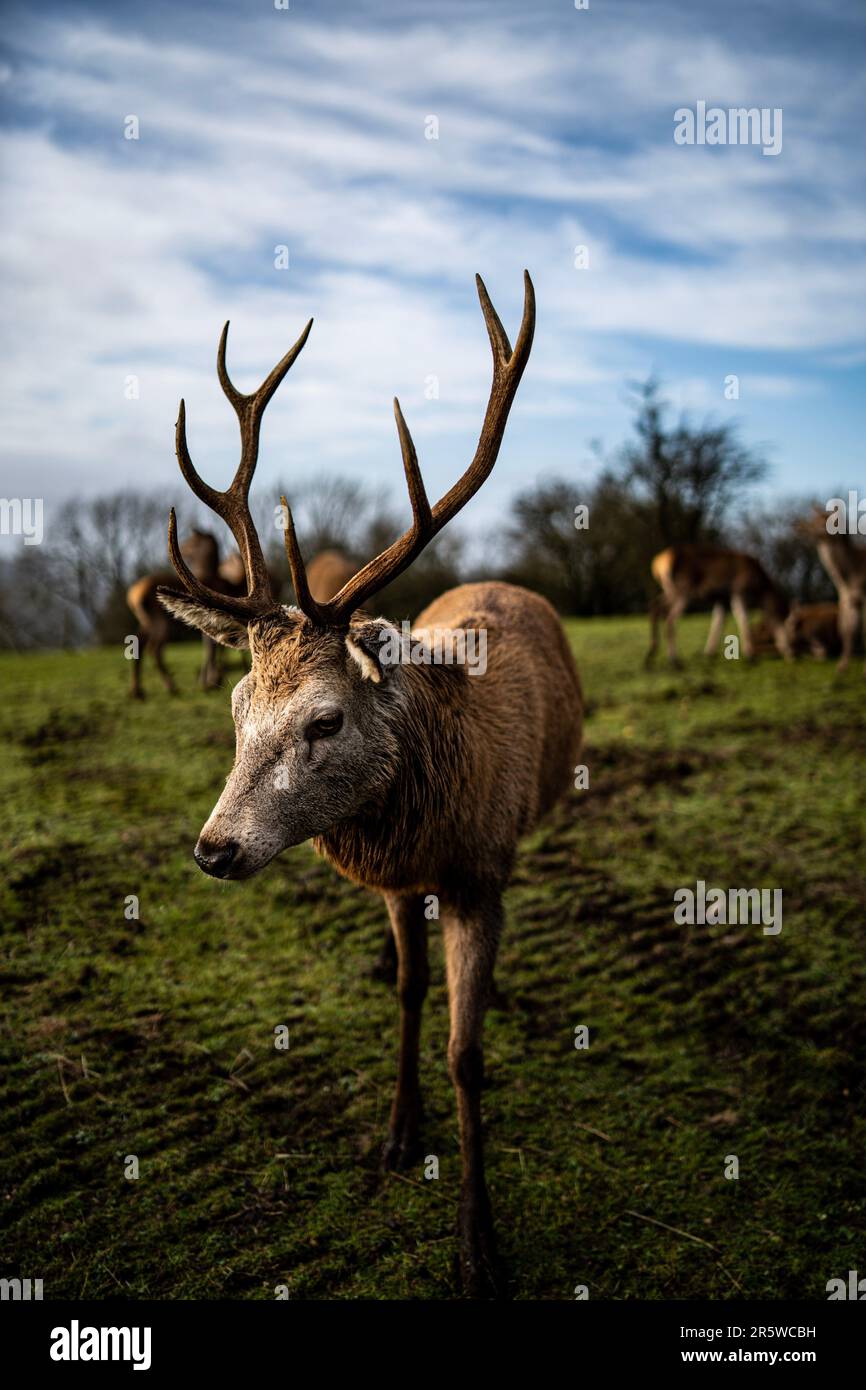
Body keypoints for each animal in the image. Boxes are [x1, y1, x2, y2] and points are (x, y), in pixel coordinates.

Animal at [156, 273, 583, 1297]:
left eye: (325, 720)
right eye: (237, 704)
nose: (214, 847)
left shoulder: (478, 873)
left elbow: (467, 1053)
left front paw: (478, 1242)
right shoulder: (399, 880)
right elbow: (408, 993)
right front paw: (396, 1136)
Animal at [646, 543, 792, 666]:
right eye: (785, 620)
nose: (792, 653)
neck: (761, 588)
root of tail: (658, 564)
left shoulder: (721, 598)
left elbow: (718, 621)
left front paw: (709, 653)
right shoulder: (738, 590)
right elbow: (742, 617)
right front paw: (750, 655)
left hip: (669, 590)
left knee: (655, 605)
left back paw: (650, 655)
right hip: (682, 588)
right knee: (669, 619)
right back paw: (674, 660)